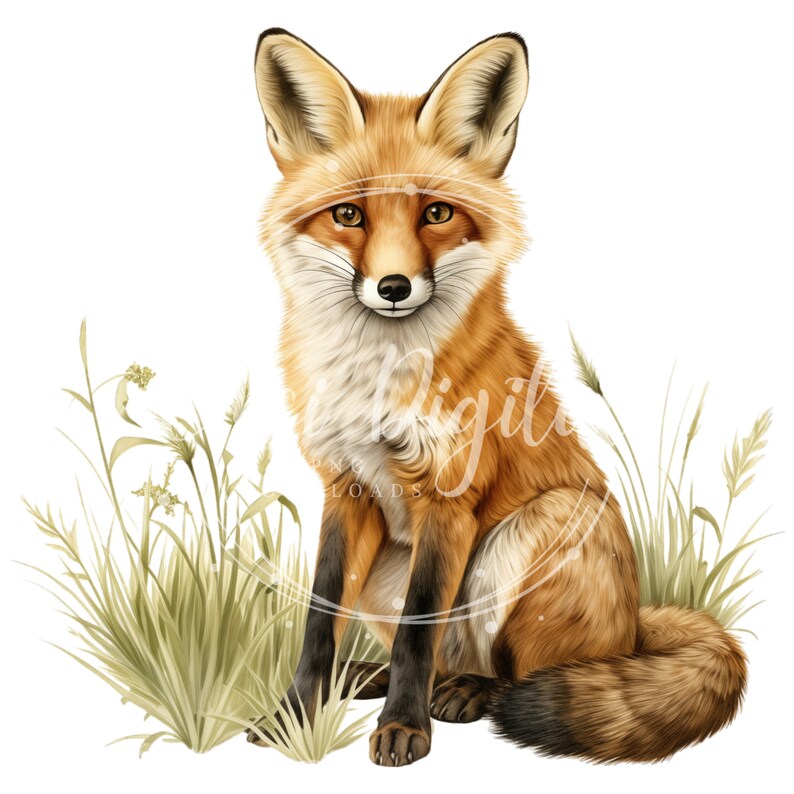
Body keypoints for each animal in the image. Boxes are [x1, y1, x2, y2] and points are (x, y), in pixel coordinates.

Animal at [247, 28, 747, 766]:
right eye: (348, 215)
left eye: (436, 212)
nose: (393, 287)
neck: (378, 377)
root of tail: (635, 626)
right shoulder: (345, 488)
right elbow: (319, 619)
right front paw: (294, 715)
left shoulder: (449, 493)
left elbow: (417, 632)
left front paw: (404, 729)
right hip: (389, 566)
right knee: (433, 653)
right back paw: (370, 679)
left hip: (538, 528)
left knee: (519, 670)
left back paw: (469, 694)